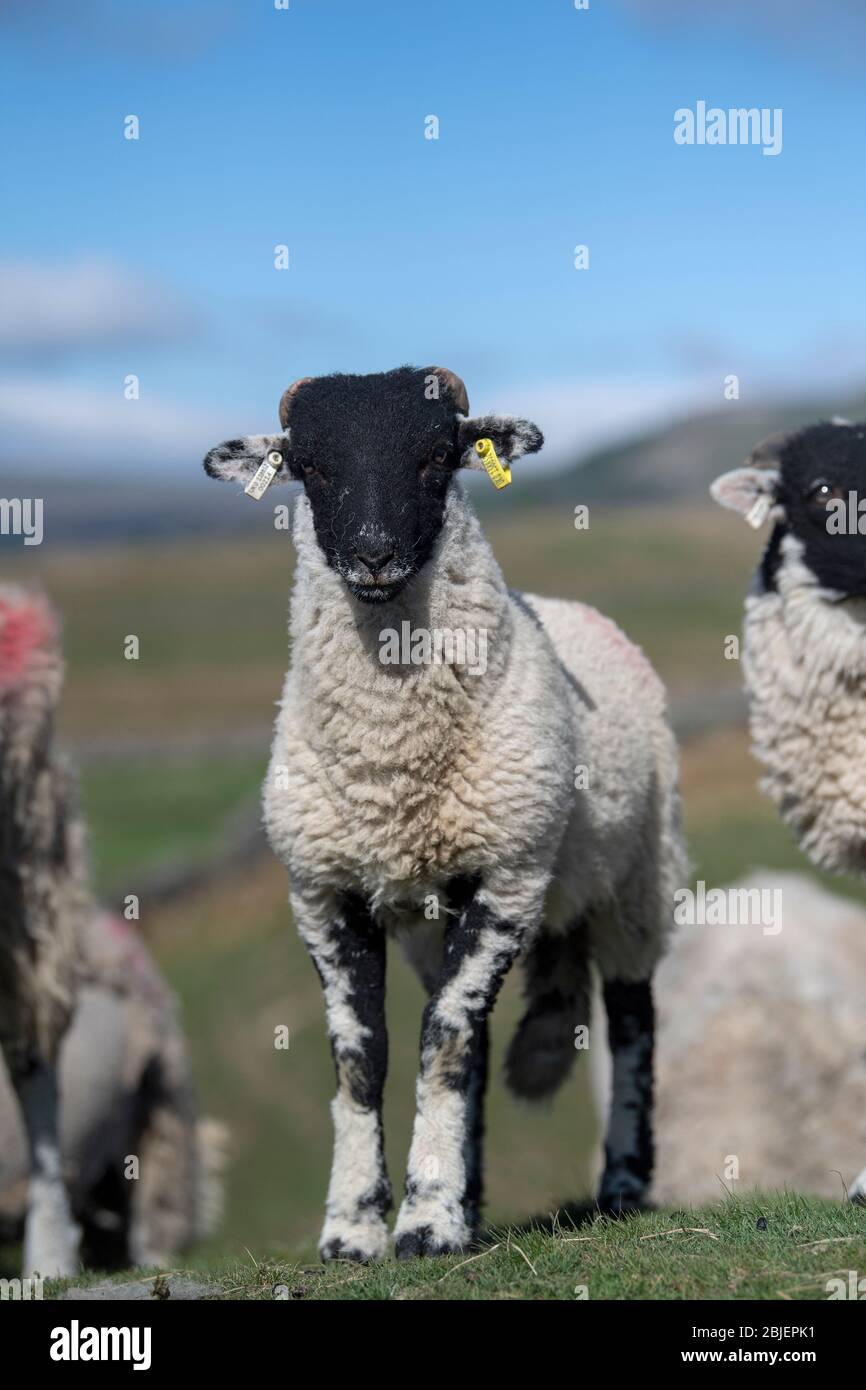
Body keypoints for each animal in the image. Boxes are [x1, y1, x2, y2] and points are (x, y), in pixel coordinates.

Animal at [203, 365, 686, 1260]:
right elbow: (364, 1054)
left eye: (436, 457)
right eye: (308, 466)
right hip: (440, 919)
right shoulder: (322, 892)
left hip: (637, 877)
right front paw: (355, 1227)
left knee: (632, 1018)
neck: (392, 763)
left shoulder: (509, 875)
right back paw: (476, 1195)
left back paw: (622, 1184)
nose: (372, 554)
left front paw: (426, 1221)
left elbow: (445, 1042)